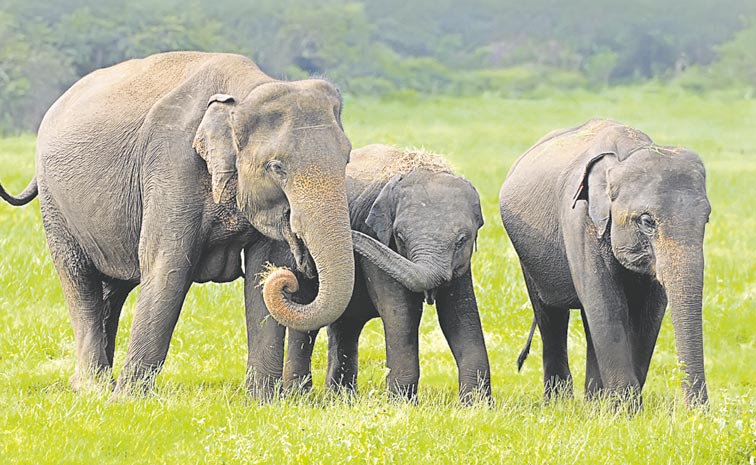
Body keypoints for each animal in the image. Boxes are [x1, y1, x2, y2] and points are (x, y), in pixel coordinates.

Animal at [0, 51, 383, 395]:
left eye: (347, 158)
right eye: (277, 167)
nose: (296, 277)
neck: (246, 88)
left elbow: (263, 268)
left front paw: (262, 401)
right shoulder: (171, 164)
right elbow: (167, 267)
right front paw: (129, 400)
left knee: (113, 289)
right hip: (55, 206)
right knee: (80, 280)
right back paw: (94, 388)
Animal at [244, 144, 491, 402]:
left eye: (462, 240)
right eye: (400, 237)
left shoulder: (462, 265)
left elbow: (459, 314)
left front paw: (476, 405)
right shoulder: (378, 242)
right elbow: (401, 313)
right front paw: (401, 403)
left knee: (346, 325)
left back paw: (341, 398)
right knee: (307, 322)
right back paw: (301, 396)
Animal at [500, 118, 710, 408]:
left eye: (706, 219)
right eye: (647, 221)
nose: (698, 412)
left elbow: (649, 312)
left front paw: (618, 407)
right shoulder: (579, 221)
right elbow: (606, 304)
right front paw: (625, 409)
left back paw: (593, 401)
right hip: (529, 256)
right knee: (550, 312)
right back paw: (560, 404)